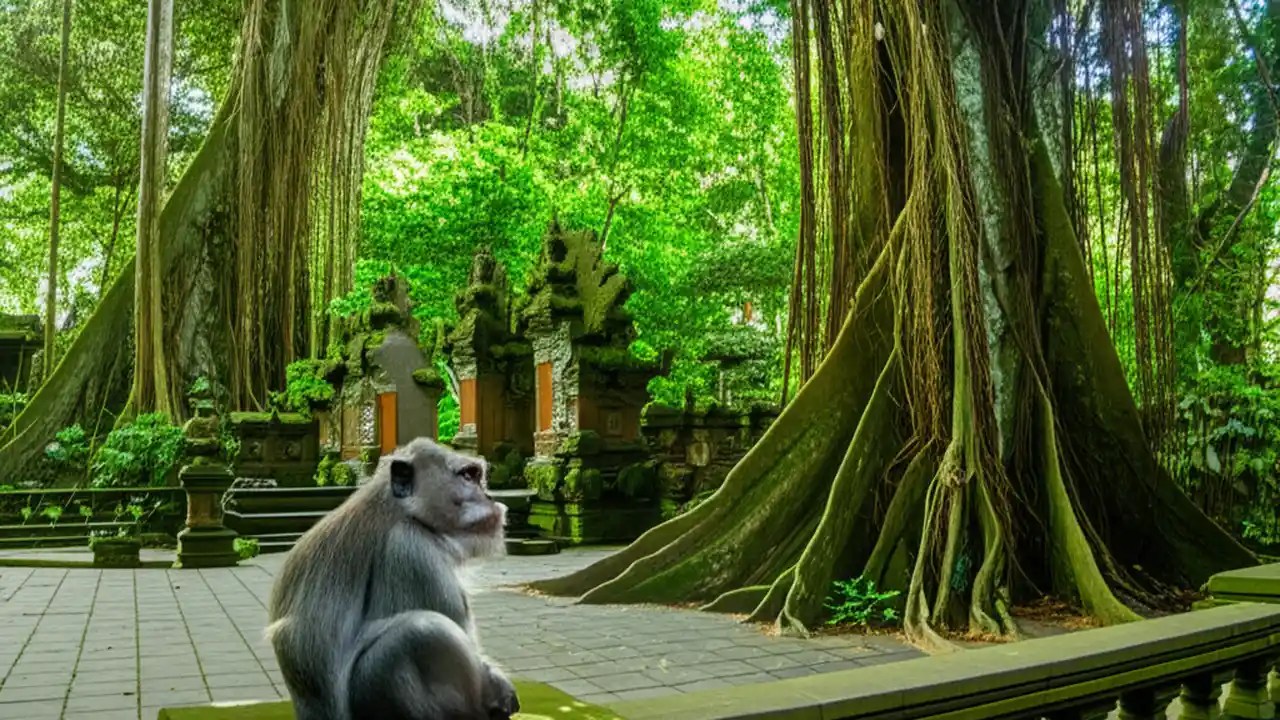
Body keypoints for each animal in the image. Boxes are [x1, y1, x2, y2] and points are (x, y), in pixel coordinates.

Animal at [266, 437, 521, 720]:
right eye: (467, 476)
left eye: (477, 476)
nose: (489, 497)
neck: (401, 510)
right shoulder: (411, 550)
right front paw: (499, 690)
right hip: (376, 685)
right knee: (422, 631)